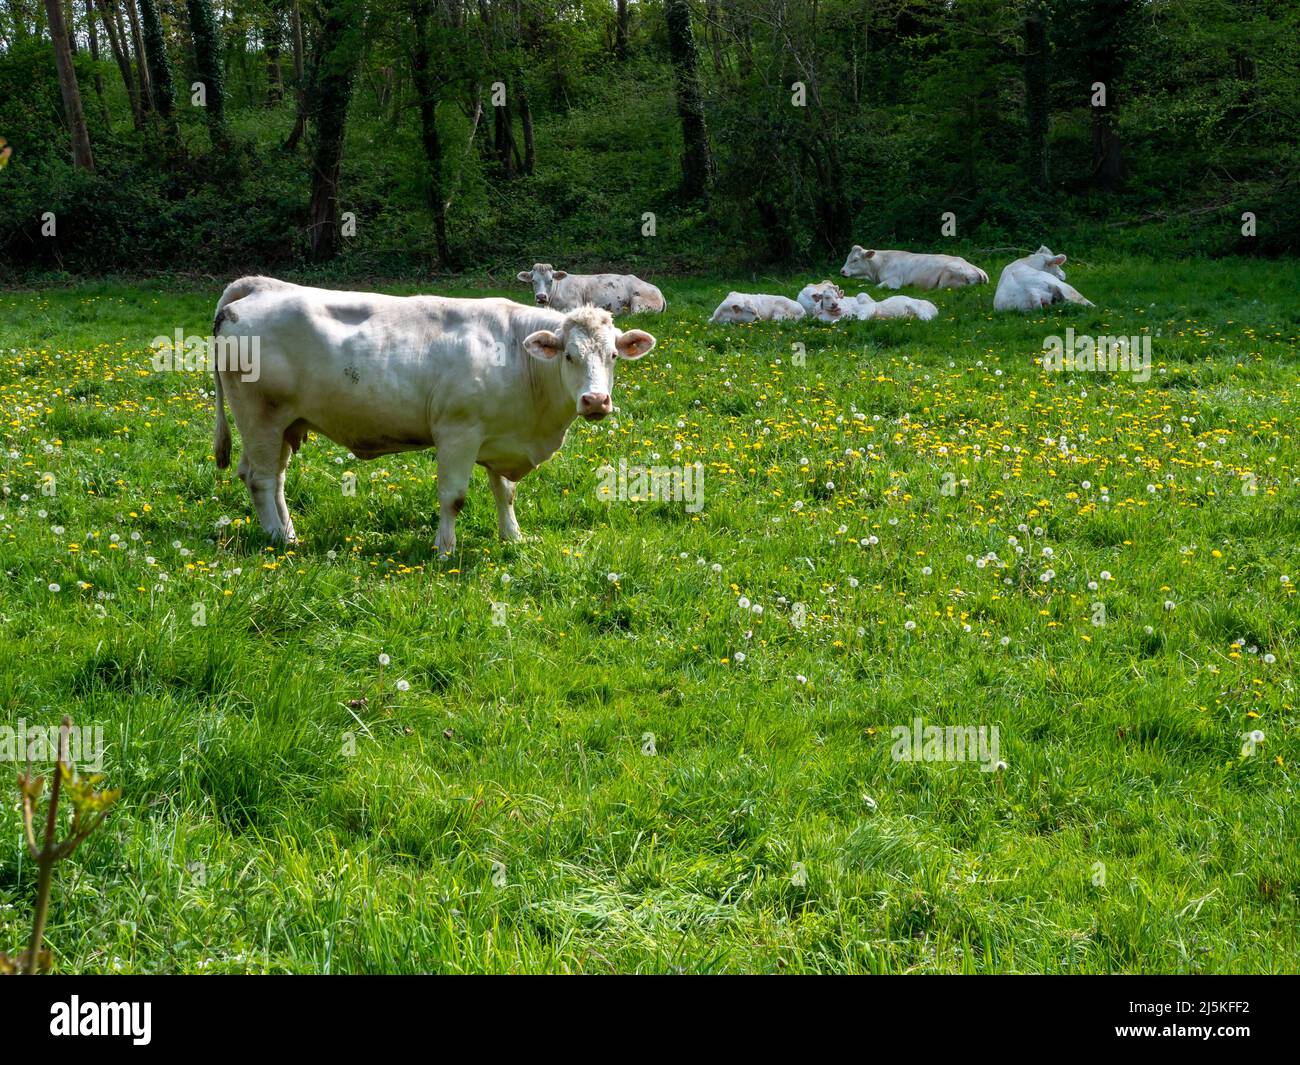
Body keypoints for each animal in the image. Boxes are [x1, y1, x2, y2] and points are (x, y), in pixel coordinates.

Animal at [210, 277, 655, 555]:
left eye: (613, 356)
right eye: (569, 356)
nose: (595, 401)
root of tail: (260, 286)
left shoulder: (500, 437)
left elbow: (505, 493)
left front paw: (513, 538)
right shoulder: (459, 433)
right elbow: (453, 497)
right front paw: (445, 549)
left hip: (284, 424)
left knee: (272, 478)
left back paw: (287, 533)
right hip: (261, 417)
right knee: (262, 479)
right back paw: (278, 539)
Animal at [840, 246, 988, 290]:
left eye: (855, 260)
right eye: (847, 257)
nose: (842, 271)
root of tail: (980, 271)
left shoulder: (894, 281)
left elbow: (876, 288)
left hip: (948, 277)